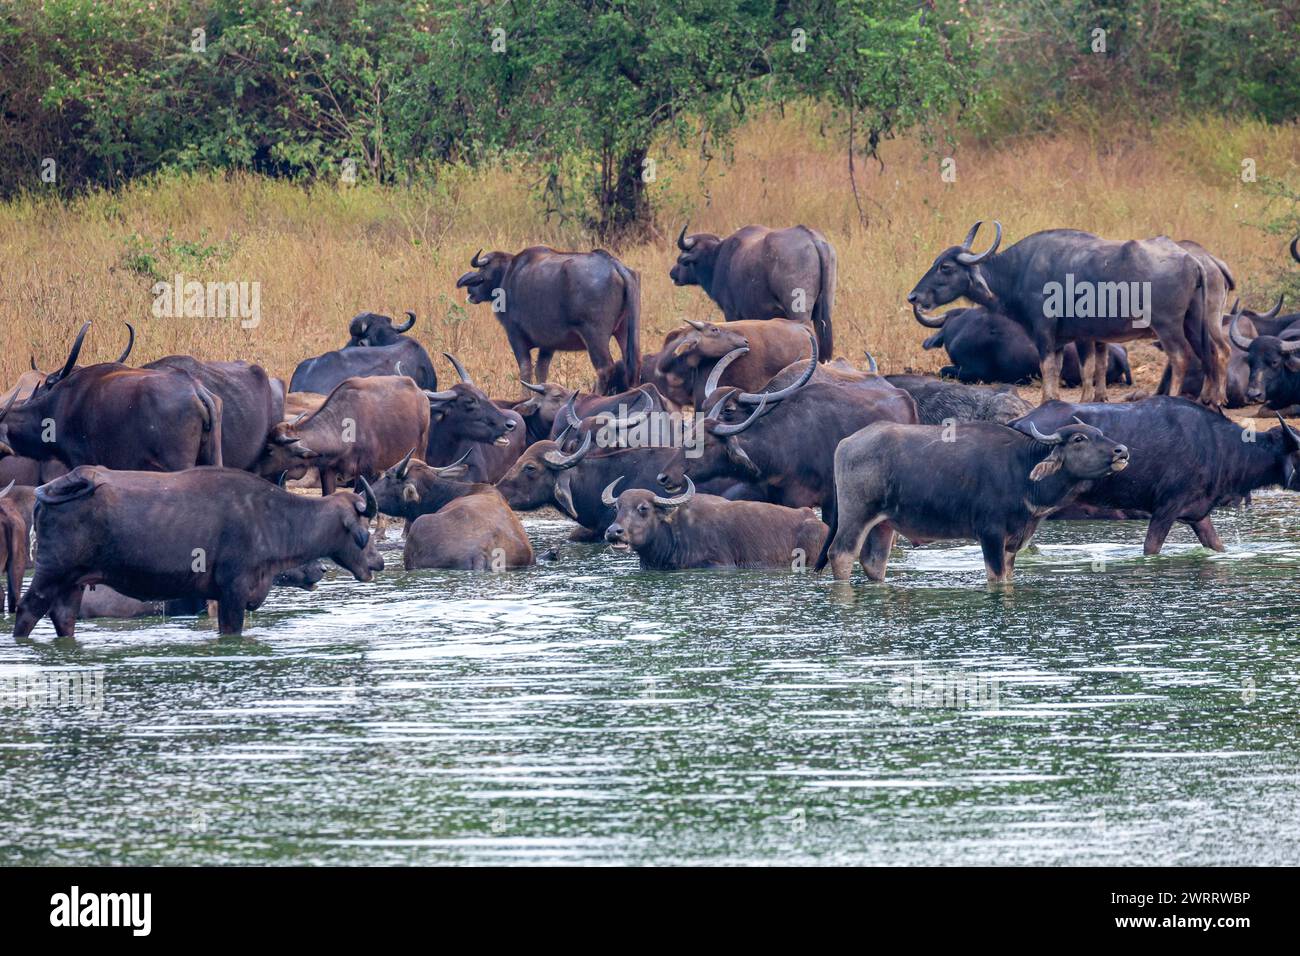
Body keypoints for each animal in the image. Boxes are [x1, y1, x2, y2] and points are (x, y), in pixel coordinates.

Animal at [14, 467, 383, 637]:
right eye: (364, 528)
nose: (377, 562)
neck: (271, 516)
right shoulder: (233, 591)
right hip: (51, 572)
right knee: (26, 611)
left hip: (73, 582)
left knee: (63, 617)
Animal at [456, 247, 641, 396]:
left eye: (483, 269)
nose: (469, 289)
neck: (507, 276)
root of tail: (613, 264)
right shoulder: (548, 345)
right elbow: (541, 371)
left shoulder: (515, 336)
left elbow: (525, 370)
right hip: (626, 330)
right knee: (634, 363)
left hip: (595, 335)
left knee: (605, 368)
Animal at [672, 224, 836, 358]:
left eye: (681, 259)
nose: (672, 273)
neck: (716, 258)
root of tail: (812, 238)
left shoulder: (731, 313)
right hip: (824, 312)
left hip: (799, 312)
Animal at [817, 419, 1129, 582]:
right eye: (1079, 439)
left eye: (1100, 433)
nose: (1121, 450)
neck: (1021, 470)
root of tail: (845, 443)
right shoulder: (990, 533)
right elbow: (996, 578)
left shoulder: (1012, 542)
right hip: (855, 516)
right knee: (840, 554)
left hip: (883, 524)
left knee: (873, 562)